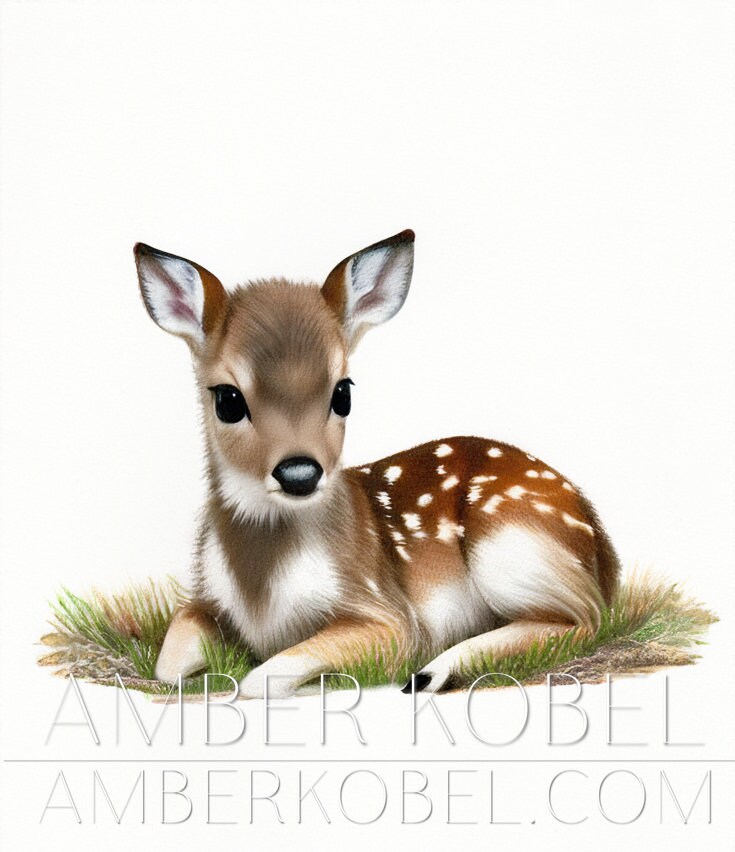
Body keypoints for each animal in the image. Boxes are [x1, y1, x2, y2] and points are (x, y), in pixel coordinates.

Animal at [134, 230, 620, 698]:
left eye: (343, 392)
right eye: (228, 399)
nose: (299, 474)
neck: (263, 596)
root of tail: (602, 543)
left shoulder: (387, 615)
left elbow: (261, 679)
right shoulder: (207, 601)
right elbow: (168, 665)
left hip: (512, 542)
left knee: (583, 620)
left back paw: (432, 673)